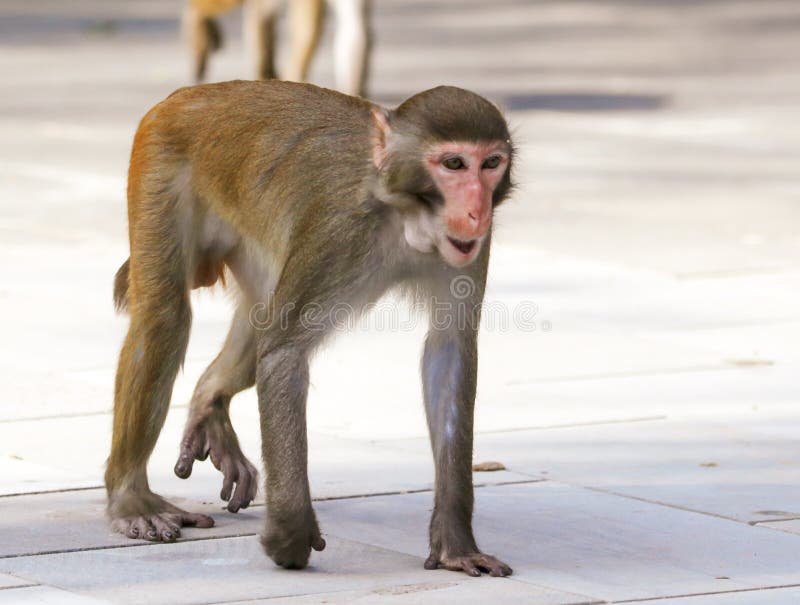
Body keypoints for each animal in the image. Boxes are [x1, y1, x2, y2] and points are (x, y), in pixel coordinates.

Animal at [107, 80, 514, 577]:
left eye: (491, 163)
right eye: (454, 164)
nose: (477, 211)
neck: (404, 216)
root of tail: (191, 93)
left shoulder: (473, 247)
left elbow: (450, 350)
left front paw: (456, 543)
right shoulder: (338, 233)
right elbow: (285, 353)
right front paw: (291, 532)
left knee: (258, 320)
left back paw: (209, 398)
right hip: (160, 157)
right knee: (166, 316)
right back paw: (130, 497)